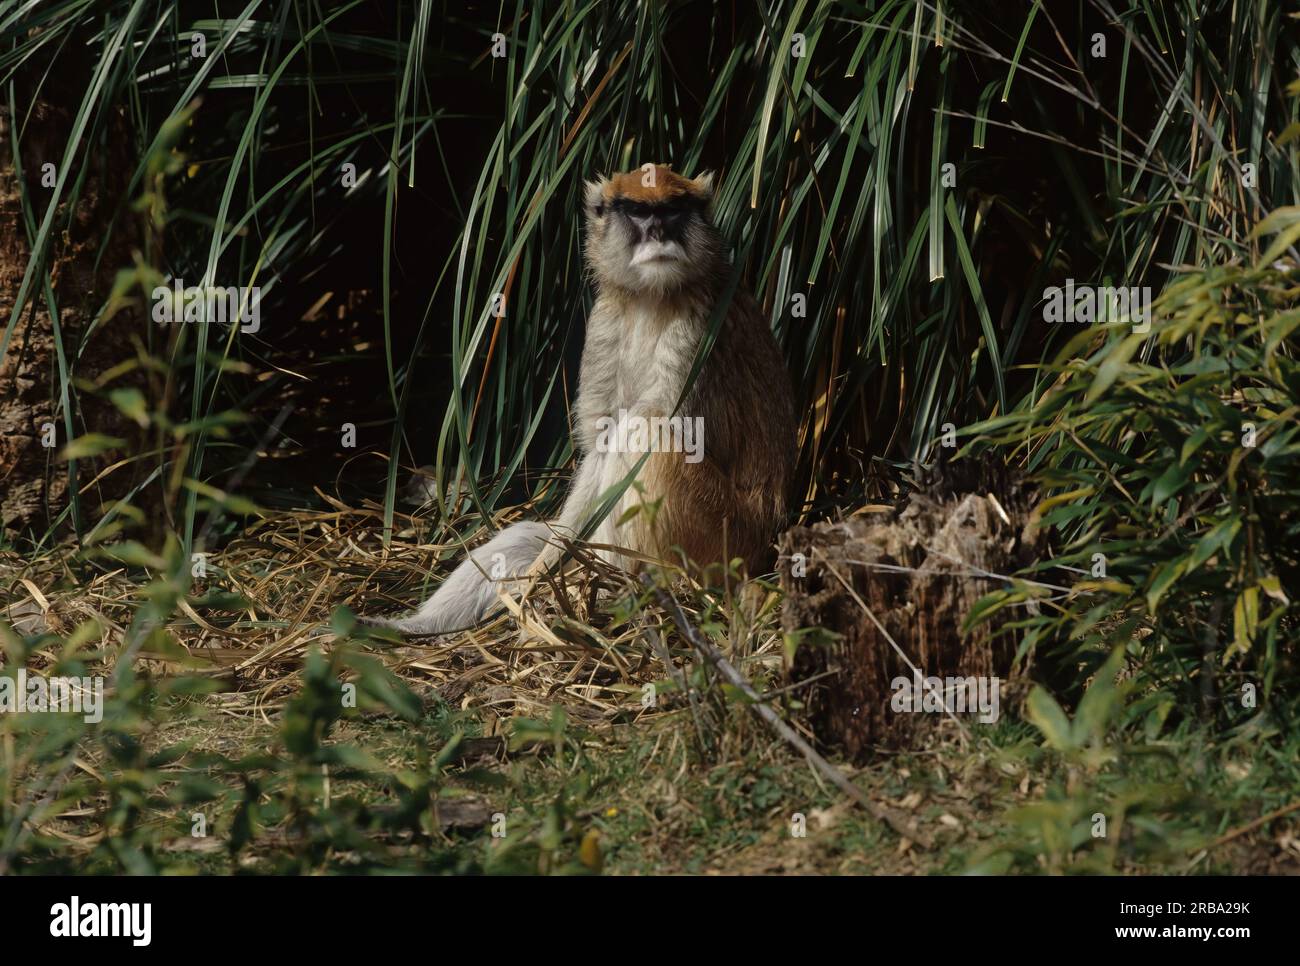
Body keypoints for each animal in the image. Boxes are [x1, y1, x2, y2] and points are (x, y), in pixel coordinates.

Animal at [367, 165, 795, 636]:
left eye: (673, 210)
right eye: (638, 212)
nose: (659, 232)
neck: (650, 298)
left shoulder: (698, 331)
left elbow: (649, 436)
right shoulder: (606, 321)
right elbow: (599, 449)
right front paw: (539, 580)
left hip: (724, 539)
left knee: (646, 434)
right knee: (529, 533)